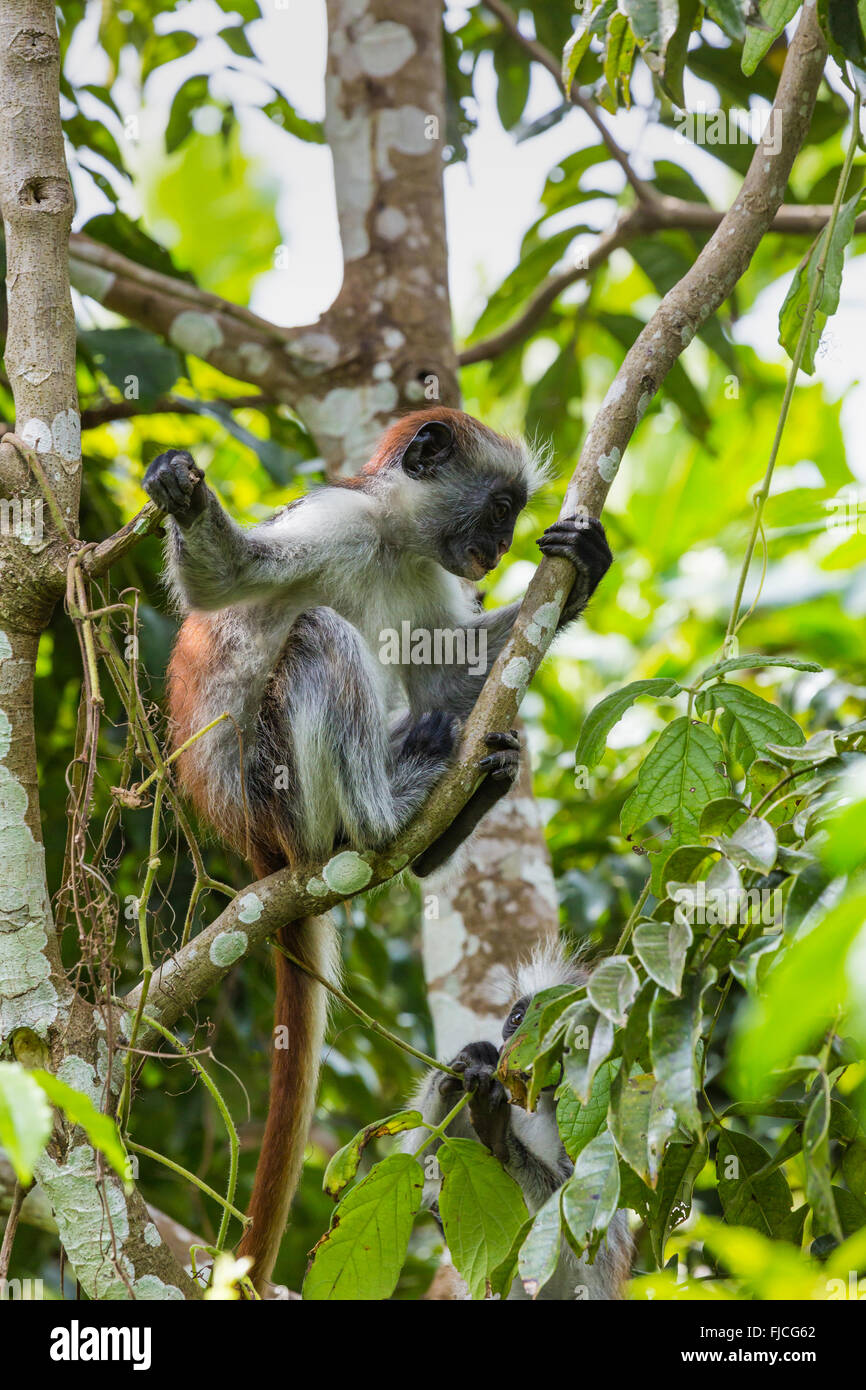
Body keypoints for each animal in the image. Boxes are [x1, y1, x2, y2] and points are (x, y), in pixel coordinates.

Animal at [142, 407, 613, 1291]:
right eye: (500, 508)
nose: (503, 544)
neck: (393, 542)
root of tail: (259, 853)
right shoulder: (340, 520)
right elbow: (226, 580)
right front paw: (180, 492)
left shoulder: (431, 573)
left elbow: (450, 679)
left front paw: (587, 570)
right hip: (279, 792)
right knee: (321, 635)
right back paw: (390, 818)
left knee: (433, 715)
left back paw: (455, 809)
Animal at [404, 942, 632, 1301]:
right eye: (518, 1018)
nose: (517, 1044)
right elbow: (428, 1163)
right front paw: (469, 1060)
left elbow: (578, 1226)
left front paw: (501, 1141)